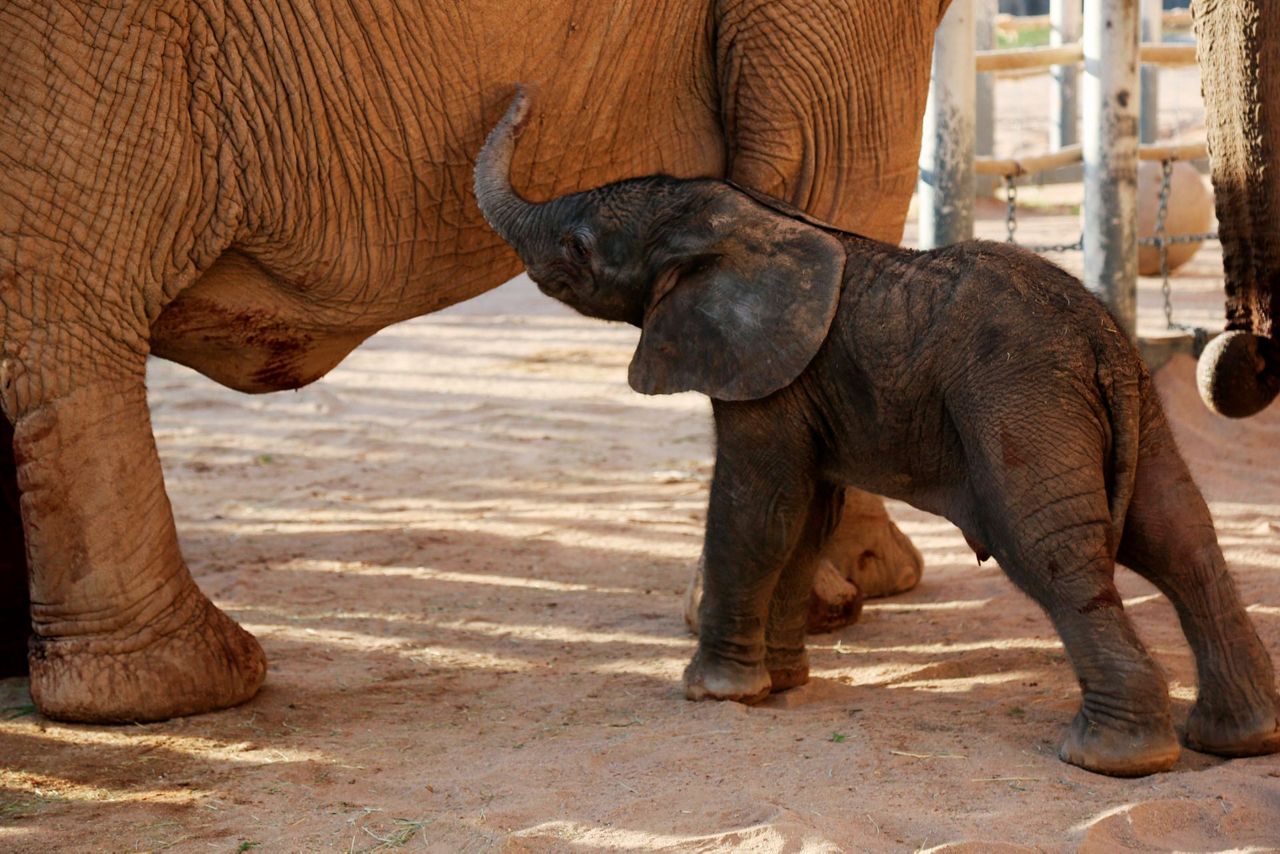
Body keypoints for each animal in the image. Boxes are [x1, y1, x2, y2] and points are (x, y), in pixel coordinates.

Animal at [0, 0, 948, 722]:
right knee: (67, 309)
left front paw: (871, 585)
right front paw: (841, 604)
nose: (523, 95)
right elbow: (833, 173)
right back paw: (185, 690)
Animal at [473, 90, 1280, 777]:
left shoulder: (770, 375)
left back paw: (1111, 759)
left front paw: (715, 694)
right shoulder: (807, 387)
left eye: (578, 248)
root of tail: (1100, 343)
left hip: (1022, 404)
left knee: (1055, 553)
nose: (525, 94)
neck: (749, 221)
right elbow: (804, 517)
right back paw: (1238, 741)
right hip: (1133, 404)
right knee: (1180, 537)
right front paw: (782, 685)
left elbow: (755, 509)